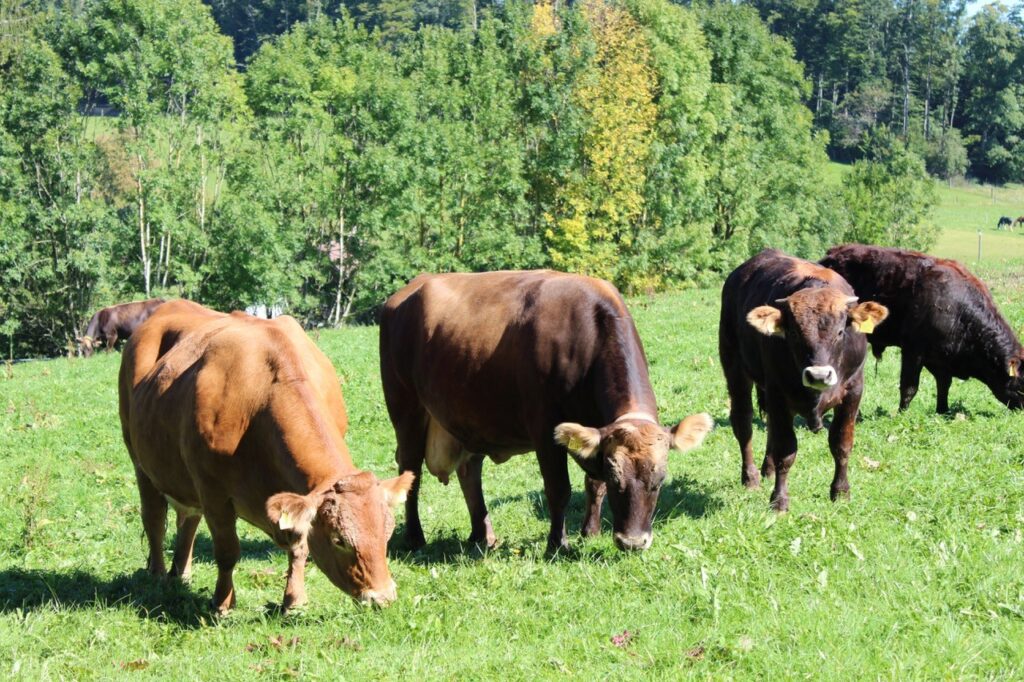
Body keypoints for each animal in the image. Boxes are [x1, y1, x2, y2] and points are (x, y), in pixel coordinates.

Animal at [119, 300, 413, 613]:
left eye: (388, 533)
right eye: (339, 540)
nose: (382, 597)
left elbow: (299, 545)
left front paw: (294, 599)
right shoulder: (213, 493)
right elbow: (227, 551)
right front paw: (223, 603)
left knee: (188, 518)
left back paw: (181, 572)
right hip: (140, 461)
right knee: (154, 518)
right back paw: (159, 574)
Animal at [379, 270, 713, 554]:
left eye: (659, 481)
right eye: (618, 480)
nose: (632, 542)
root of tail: (408, 290)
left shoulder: (594, 434)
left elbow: (593, 485)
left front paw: (590, 532)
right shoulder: (545, 430)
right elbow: (559, 489)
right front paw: (557, 544)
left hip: (468, 417)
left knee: (469, 471)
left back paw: (483, 535)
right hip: (406, 410)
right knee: (411, 470)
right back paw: (415, 538)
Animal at [719, 250, 889, 512]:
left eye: (840, 332)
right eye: (794, 333)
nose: (818, 375)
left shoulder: (853, 391)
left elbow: (841, 443)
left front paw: (841, 491)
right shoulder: (778, 392)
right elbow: (786, 450)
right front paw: (779, 500)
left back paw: (767, 469)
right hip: (734, 367)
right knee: (743, 423)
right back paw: (750, 477)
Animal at [820, 244, 1024, 413]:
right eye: (1021, 384)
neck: (960, 310)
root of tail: (829, 257)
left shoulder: (940, 359)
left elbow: (944, 385)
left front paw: (943, 410)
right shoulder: (913, 352)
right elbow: (909, 386)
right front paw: (901, 413)